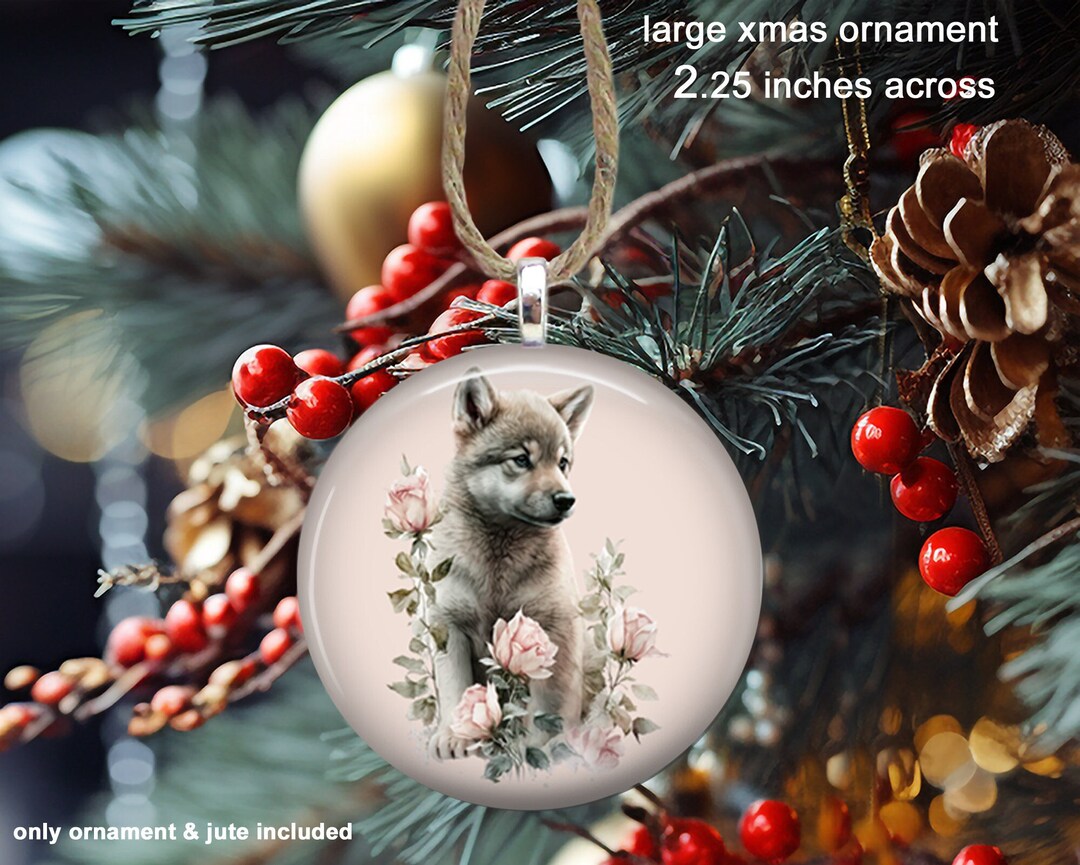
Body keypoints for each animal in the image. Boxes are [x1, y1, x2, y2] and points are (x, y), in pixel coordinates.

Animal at [427, 369, 594, 760]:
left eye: (562, 463)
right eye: (521, 459)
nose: (566, 500)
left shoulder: (553, 627)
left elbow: (550, 702)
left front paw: (543, 746)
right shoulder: (449, 626)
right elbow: (456, 689)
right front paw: (453, 737)